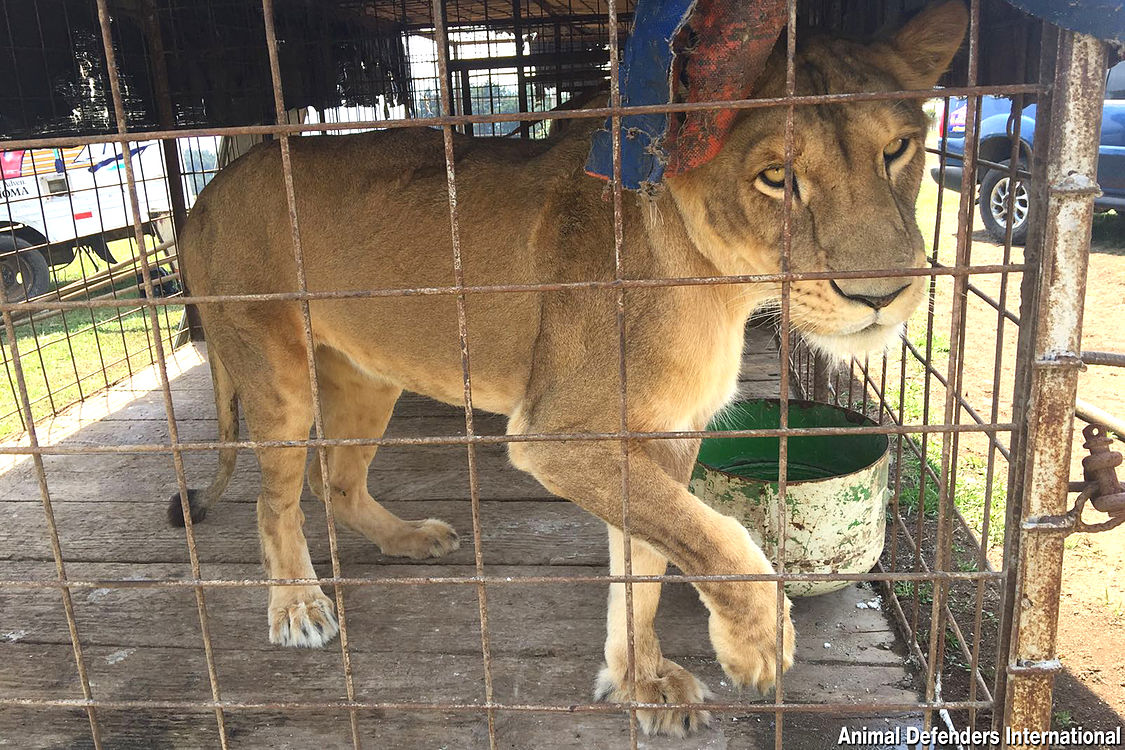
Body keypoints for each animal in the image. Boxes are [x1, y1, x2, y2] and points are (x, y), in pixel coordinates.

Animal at [170, 1, 966, 736]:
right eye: (776, 176)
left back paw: (408, 538)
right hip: (276, 378)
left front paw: (641, 681)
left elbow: (647, 564)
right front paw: (755, 643)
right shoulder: (557, 435)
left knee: (333, 481)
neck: (720, 286)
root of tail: (209, 191)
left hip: (367, 376)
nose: (880, 295)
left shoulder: (663, 435)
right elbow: (711, 537)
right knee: (274, 501)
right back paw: (298, 606)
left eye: (898, 149)